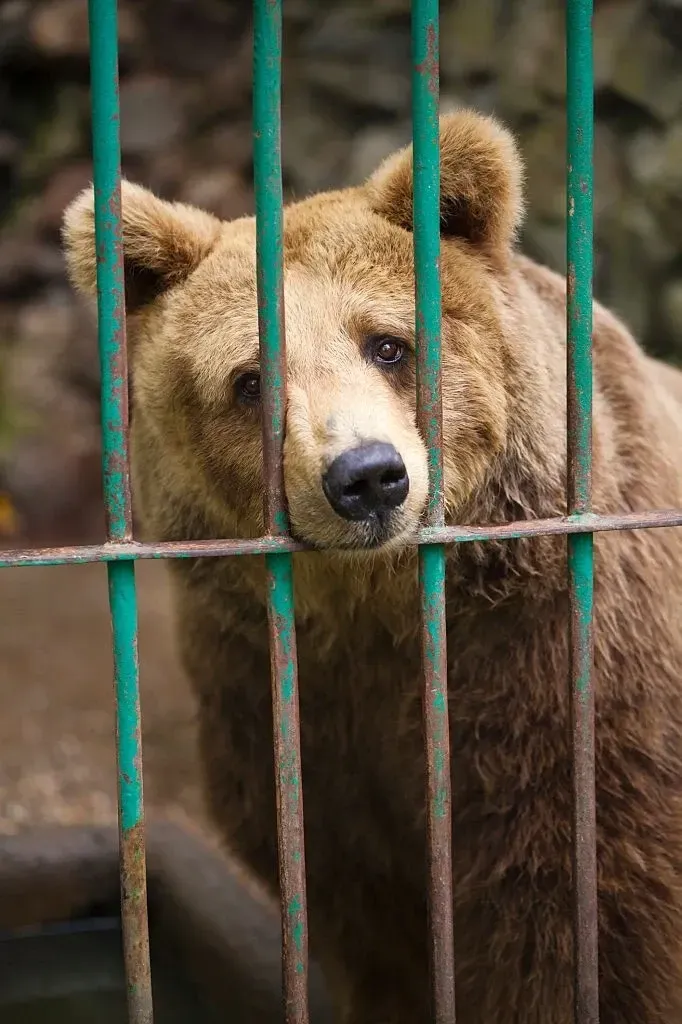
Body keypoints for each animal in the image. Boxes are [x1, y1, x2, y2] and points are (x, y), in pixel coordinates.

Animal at [63, 110, 682, 1024]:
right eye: (251, 381)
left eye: (387, 343)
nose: (365, 477)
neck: (380, 607)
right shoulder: (295, 716)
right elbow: (368, 920)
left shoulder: (565, 678)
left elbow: (574, 917)